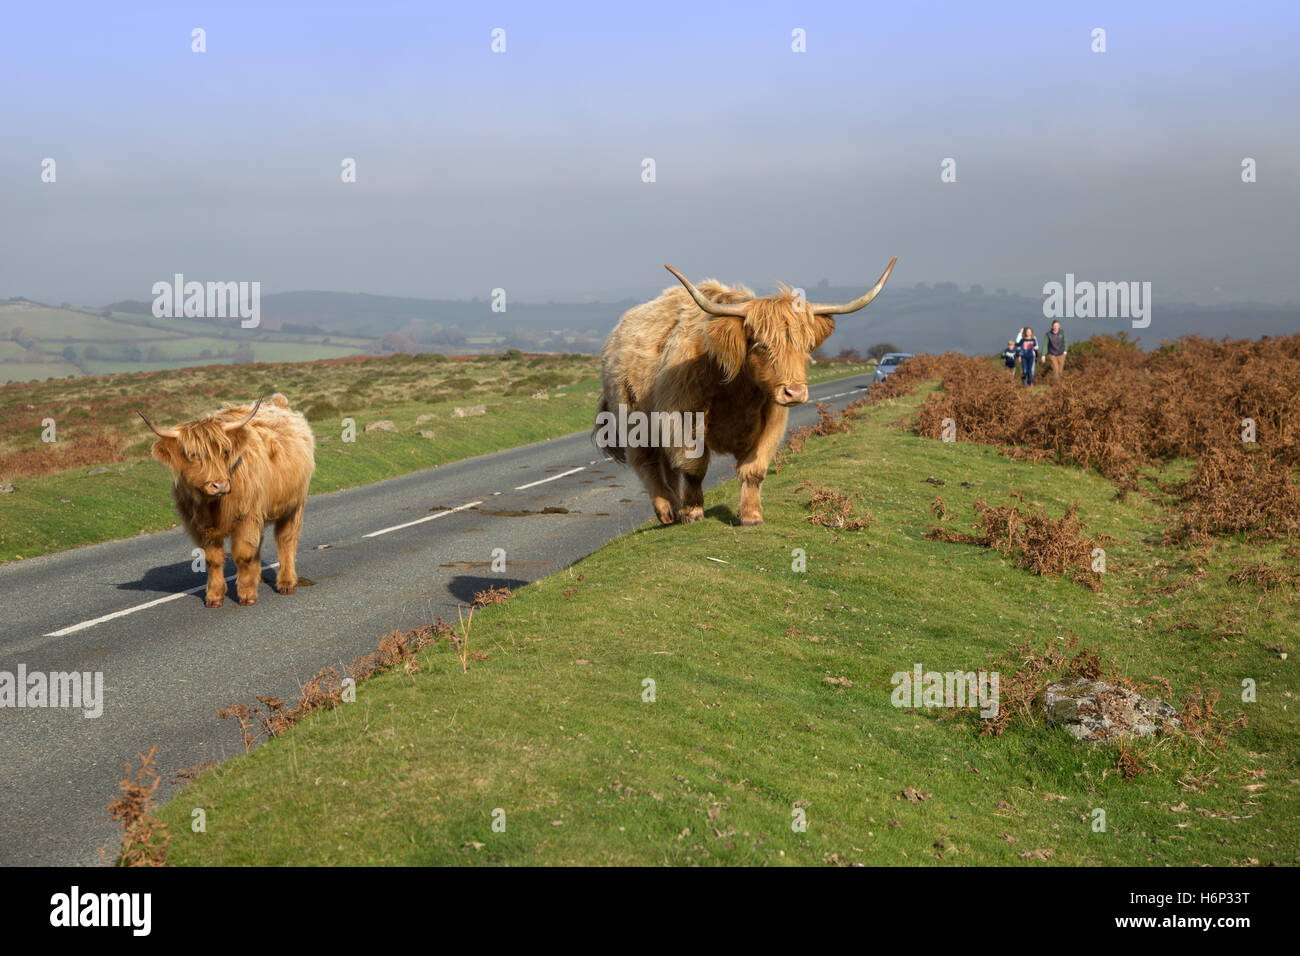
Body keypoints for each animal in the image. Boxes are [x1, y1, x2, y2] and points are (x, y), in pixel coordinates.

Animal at [138, 393, 315, 607]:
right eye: (194, 455)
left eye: (225, 452)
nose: (220, 485)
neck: (212, 505)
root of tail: (280, 403)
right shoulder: (202, 526)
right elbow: (213, 559)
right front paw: (214, 596)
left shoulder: (246, 516)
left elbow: (243, 555)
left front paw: (246, 594)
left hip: (293, 505)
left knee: (286, 540)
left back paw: (286, 583)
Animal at [595, 257, 897, 526]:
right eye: (761, 344)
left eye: (806, 345)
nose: (795, 392)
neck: (738, 391)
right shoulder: (682, 417)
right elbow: (694, 467)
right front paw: (693, 512)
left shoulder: (772, 421)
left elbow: (754, 470)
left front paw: (751, 516)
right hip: (631, 418)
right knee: (648, 464)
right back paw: (668, 509)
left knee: (666, 467)